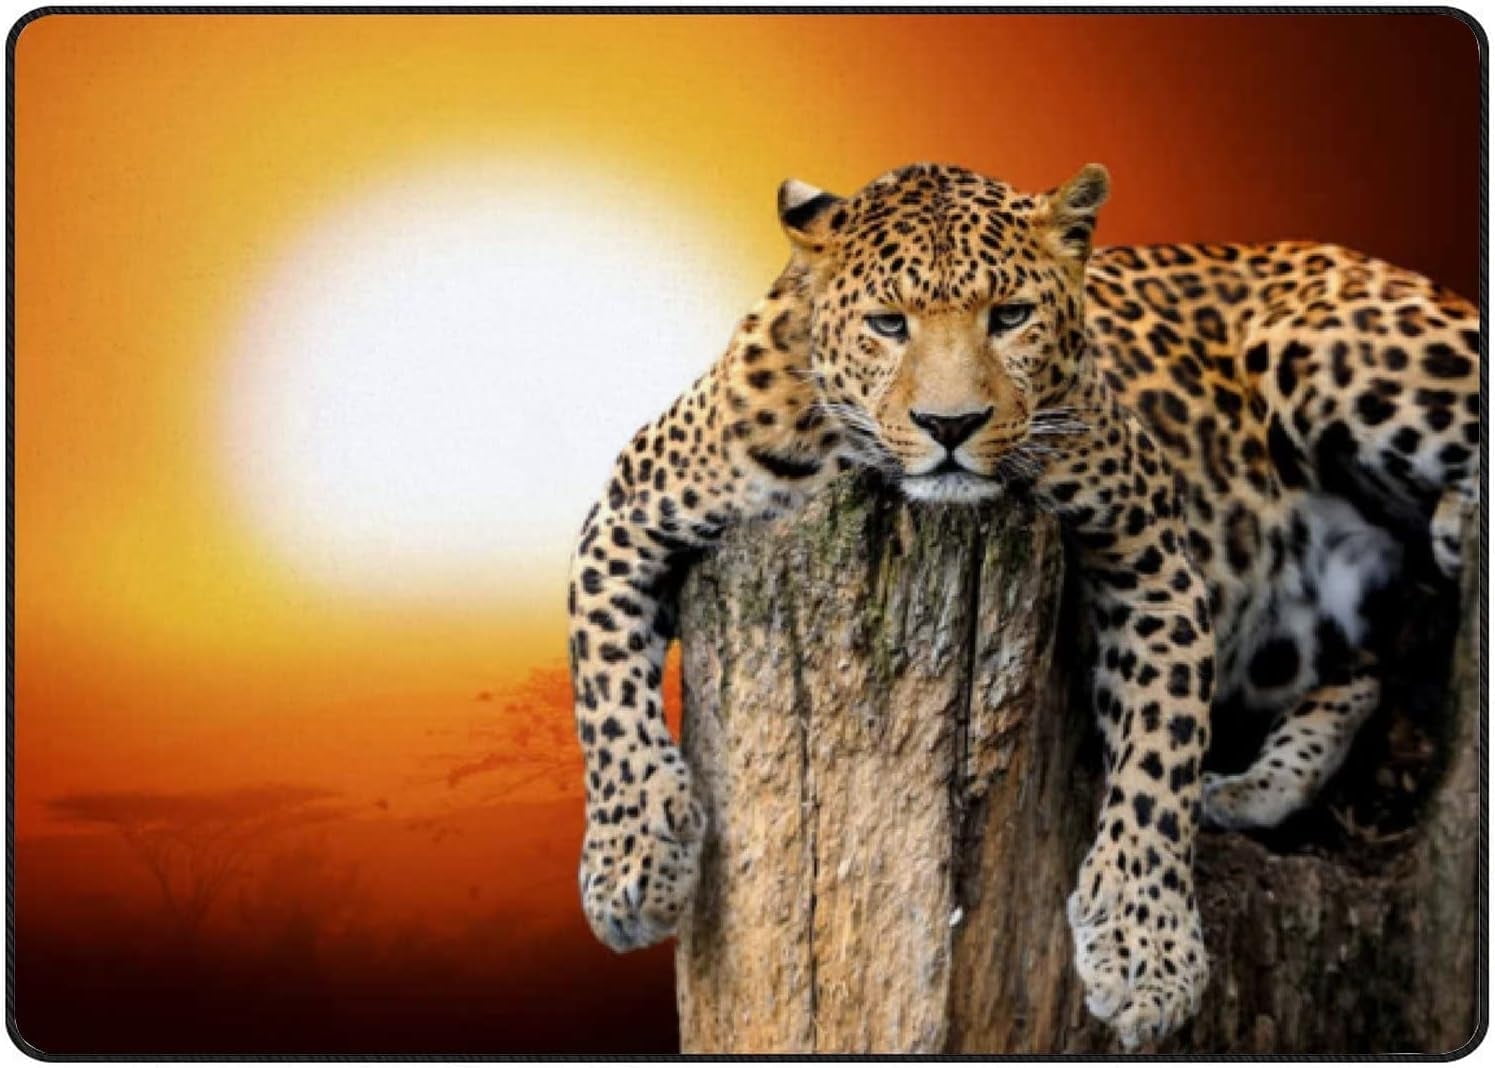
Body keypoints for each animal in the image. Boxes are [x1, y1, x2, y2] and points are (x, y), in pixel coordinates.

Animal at [565, 162, 1479, 1049]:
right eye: (887, 324)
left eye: (1009, 316)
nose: (949, 425)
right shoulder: (626, 512)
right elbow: (604, 696)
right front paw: (632, 866)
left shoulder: (1150, 553)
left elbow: (1159, 753)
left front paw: (1144, 954)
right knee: (1360, 671)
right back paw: (1255, 786)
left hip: (1324, 348)